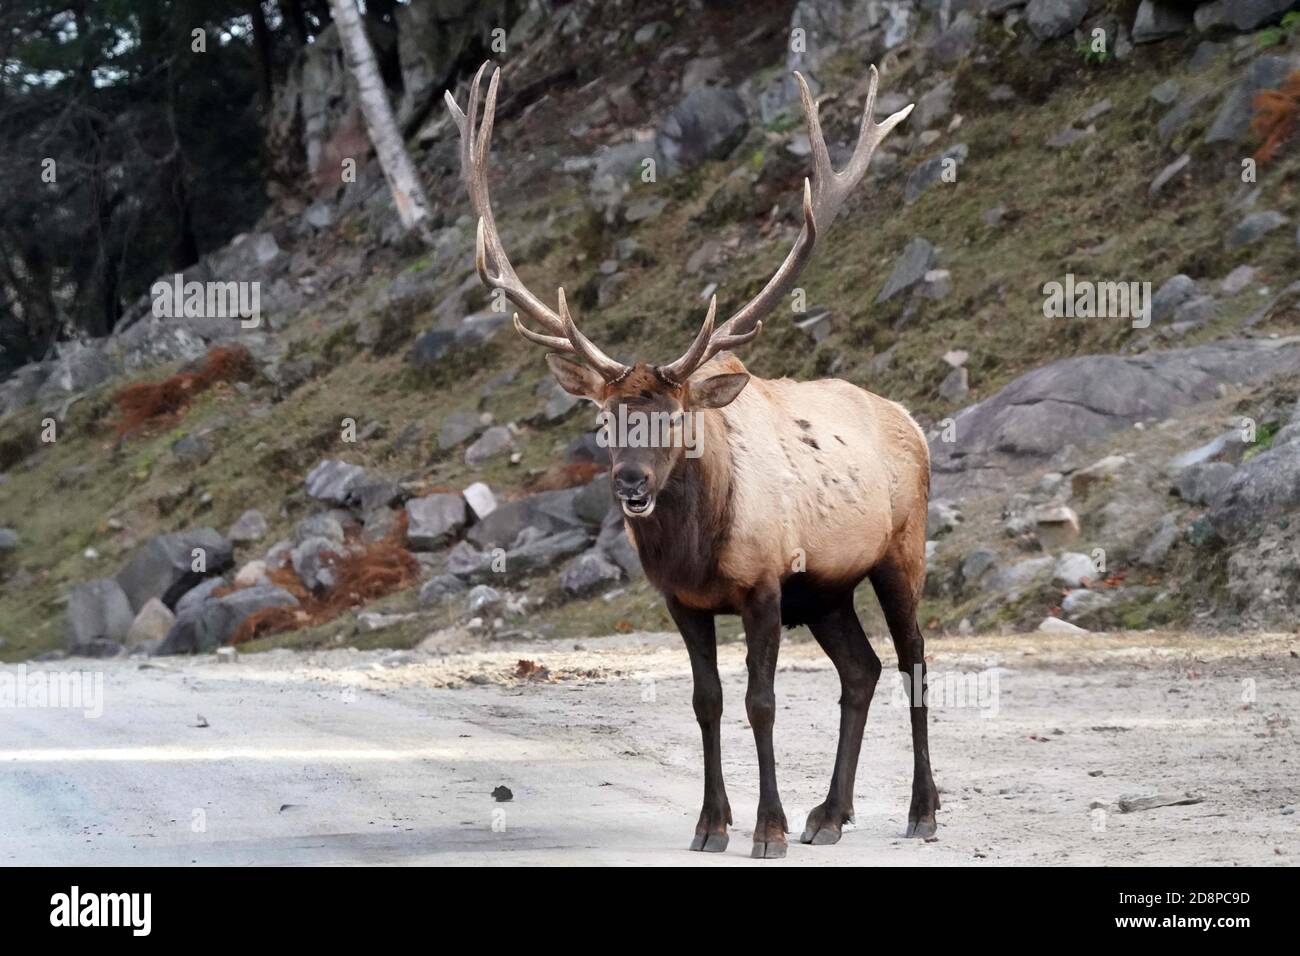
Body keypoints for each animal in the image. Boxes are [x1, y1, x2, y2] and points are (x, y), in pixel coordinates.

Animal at [445, 62, 937, 859]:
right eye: (604, 417)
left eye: (675, 416)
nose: (631, 482)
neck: (701, 548)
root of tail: (913, 423)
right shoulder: (682, 599)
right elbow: (707, 701)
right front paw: (711, 823)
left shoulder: (765, 584)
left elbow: (761, 702)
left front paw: (766, 828)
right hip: (827, 588)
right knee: (860, 671)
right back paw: (830, 815)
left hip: (901, 549)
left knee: (913, 660)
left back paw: (922, 810)